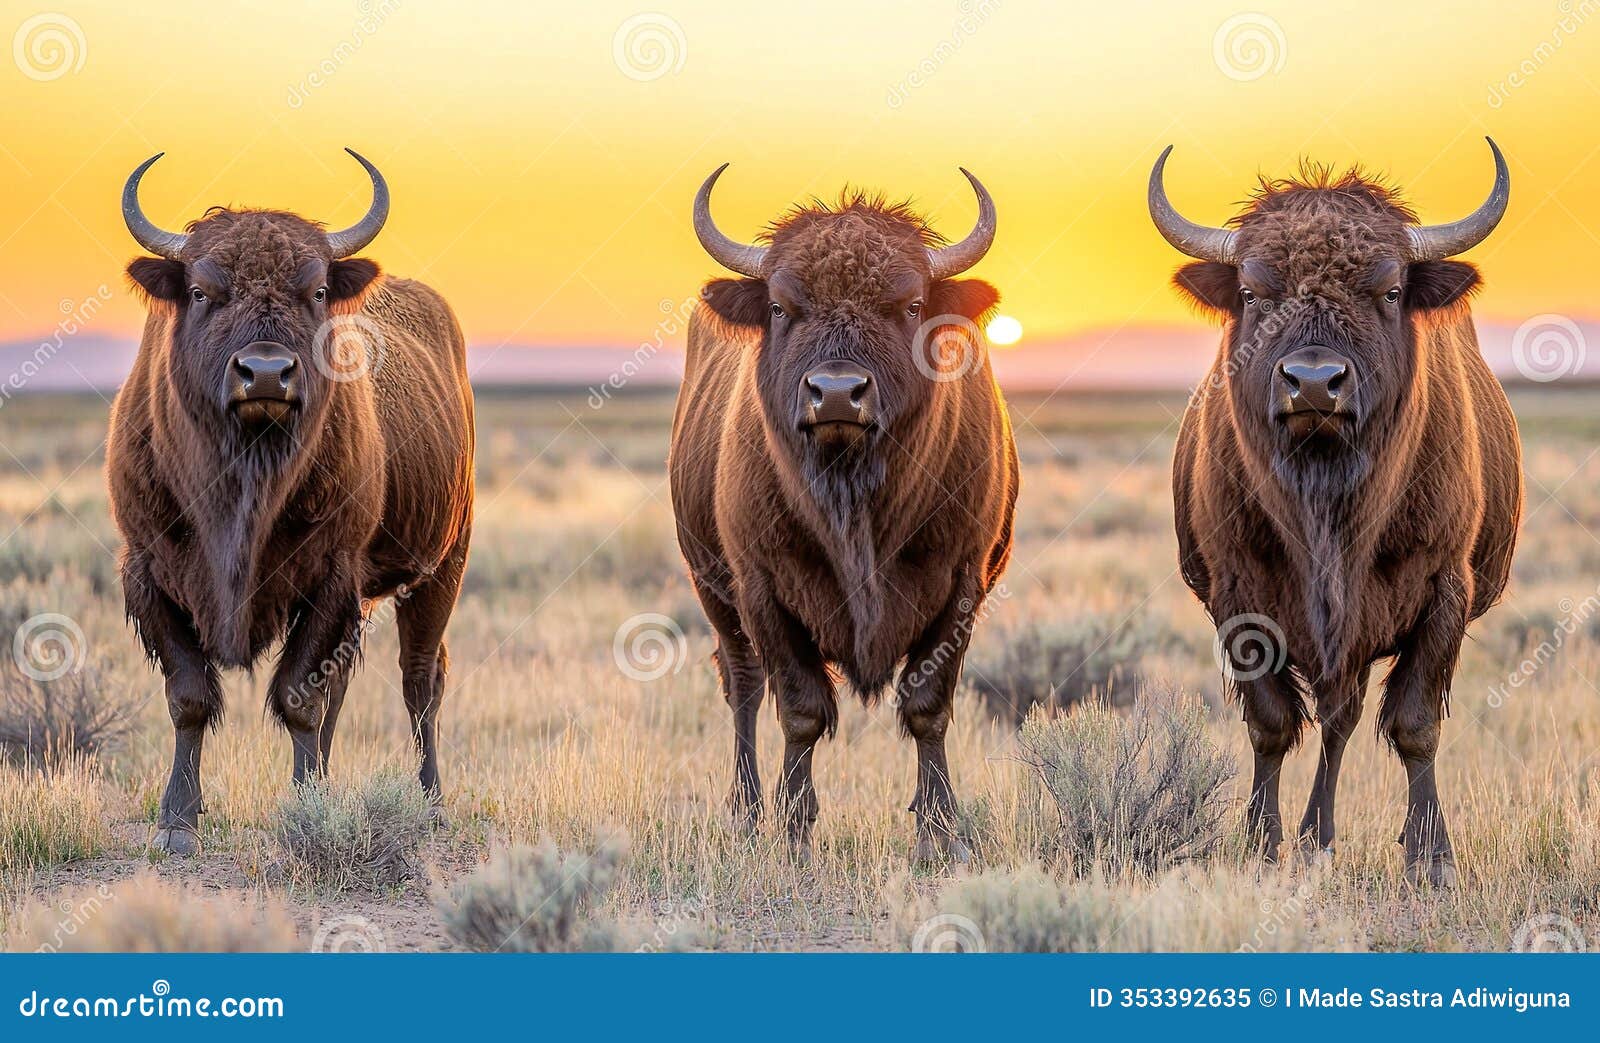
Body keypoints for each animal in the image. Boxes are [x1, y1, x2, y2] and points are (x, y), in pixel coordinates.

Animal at [108, 151, 475, 853]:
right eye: (202, 291)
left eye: (318, 291)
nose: (267, 374)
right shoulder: (148, 573)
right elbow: (190, 697)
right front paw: (177, 822)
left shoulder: (332, 576)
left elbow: (298, 697)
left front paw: (304, 808)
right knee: (349, 685)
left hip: (441, 567)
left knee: (421, 680)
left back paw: (432, 800)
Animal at [669, 167, 1017, 862]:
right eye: (781, 307)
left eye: (910, 305)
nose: (835, 394)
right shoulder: (761, 587)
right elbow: (801, 709)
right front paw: (796, 826)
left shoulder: (961, 586)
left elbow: (927, 706)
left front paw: (938, 831)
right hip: (712, 589)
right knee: (743, 684)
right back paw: (745, 809)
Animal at [1151, 138, 1522, 885]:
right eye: (1255, 292)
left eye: (1389, 291)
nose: (1315, 383)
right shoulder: (1238, 598)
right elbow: (1271, 723)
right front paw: (1263, 844)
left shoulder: (1444, 592)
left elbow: (1414, 724)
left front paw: (1430, 858)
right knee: (1333, 718)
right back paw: (1313, 836)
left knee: (1345, 719)